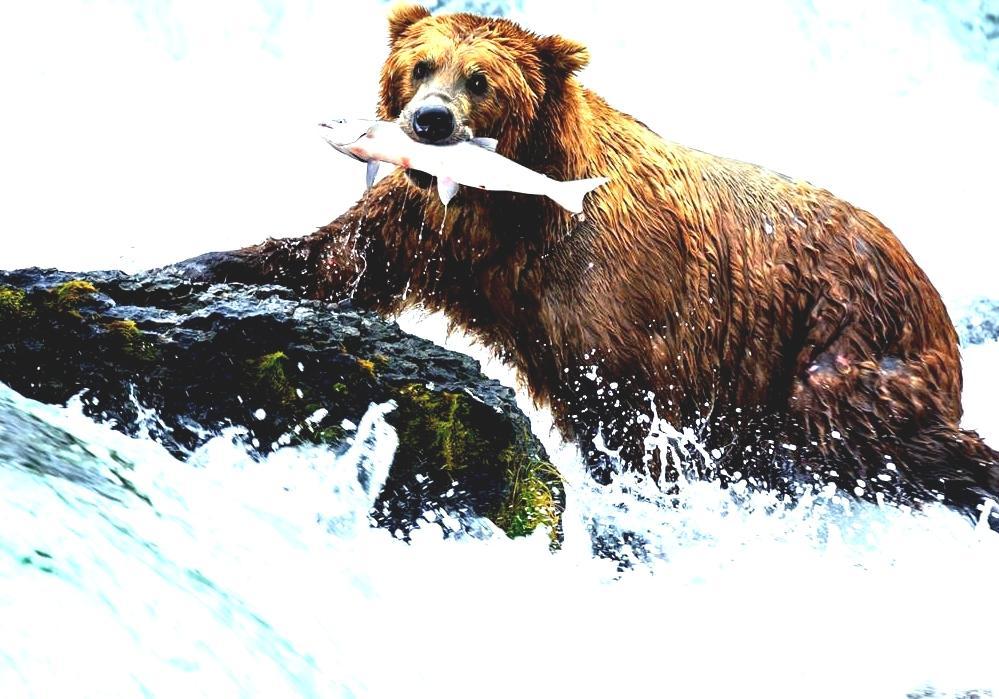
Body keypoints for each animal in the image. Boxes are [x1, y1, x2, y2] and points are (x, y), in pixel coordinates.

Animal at [180, 3, 999, 525]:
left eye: (480, 79)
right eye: (420, 65)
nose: (429, 121)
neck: (508, 205)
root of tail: (925, 282)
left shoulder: (612, 288)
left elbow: (624, 411)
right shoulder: (431, 231)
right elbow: (337, 256)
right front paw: (202, 265)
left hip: (839, 338)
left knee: (862, 438)